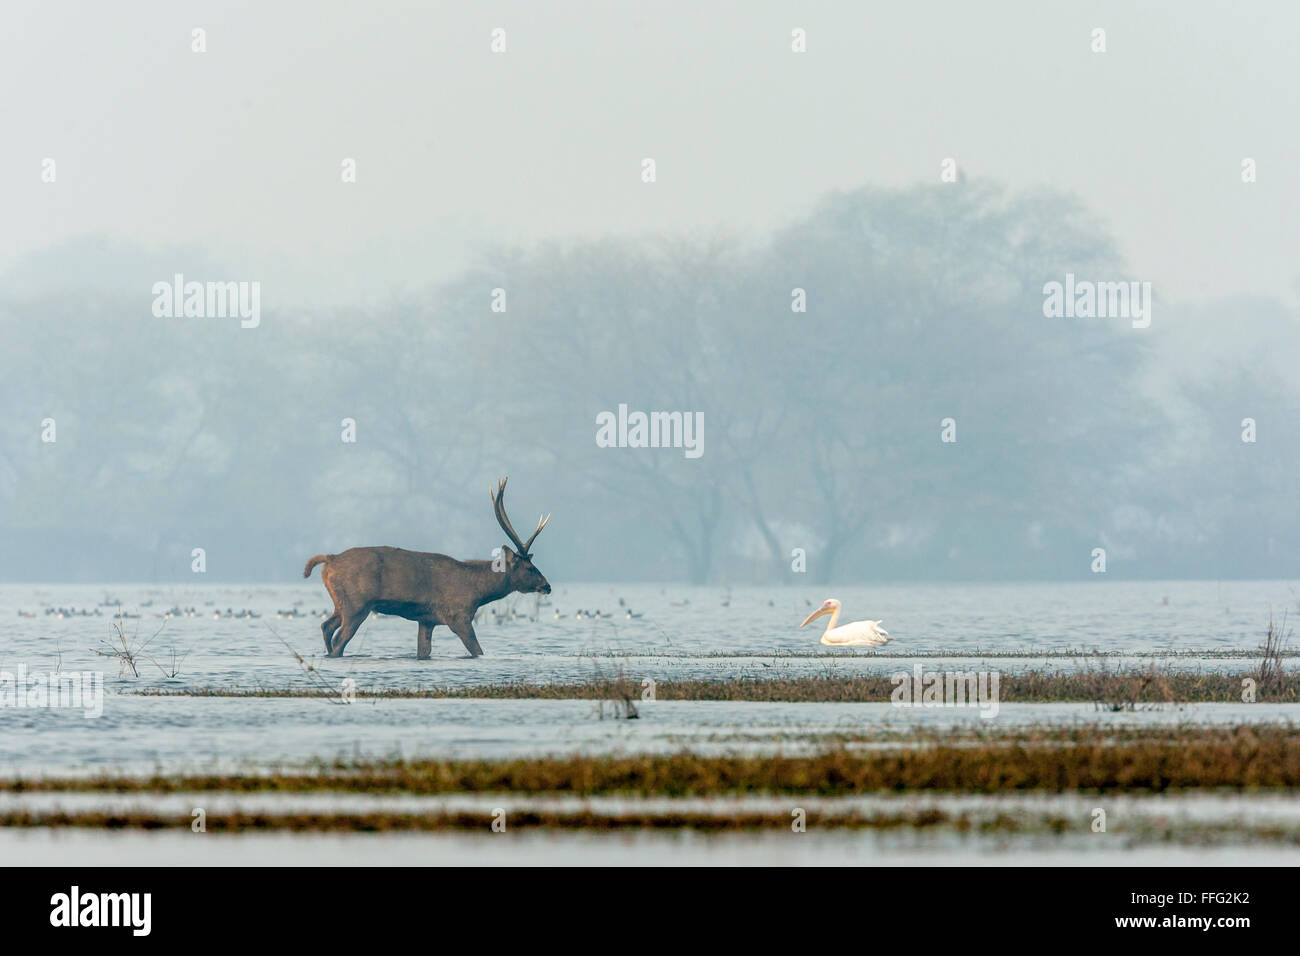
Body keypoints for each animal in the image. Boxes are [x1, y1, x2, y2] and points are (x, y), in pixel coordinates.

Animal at [303, 477, 551, 659]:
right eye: (530, 568)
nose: (547, 586)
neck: (477, 591)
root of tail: (329, 560)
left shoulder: (426, 620)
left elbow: (424, 650)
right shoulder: (458, 616)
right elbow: (477, 650)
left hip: (340, 603)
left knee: (326, 627)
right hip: (357, 605)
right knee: (338, 639)